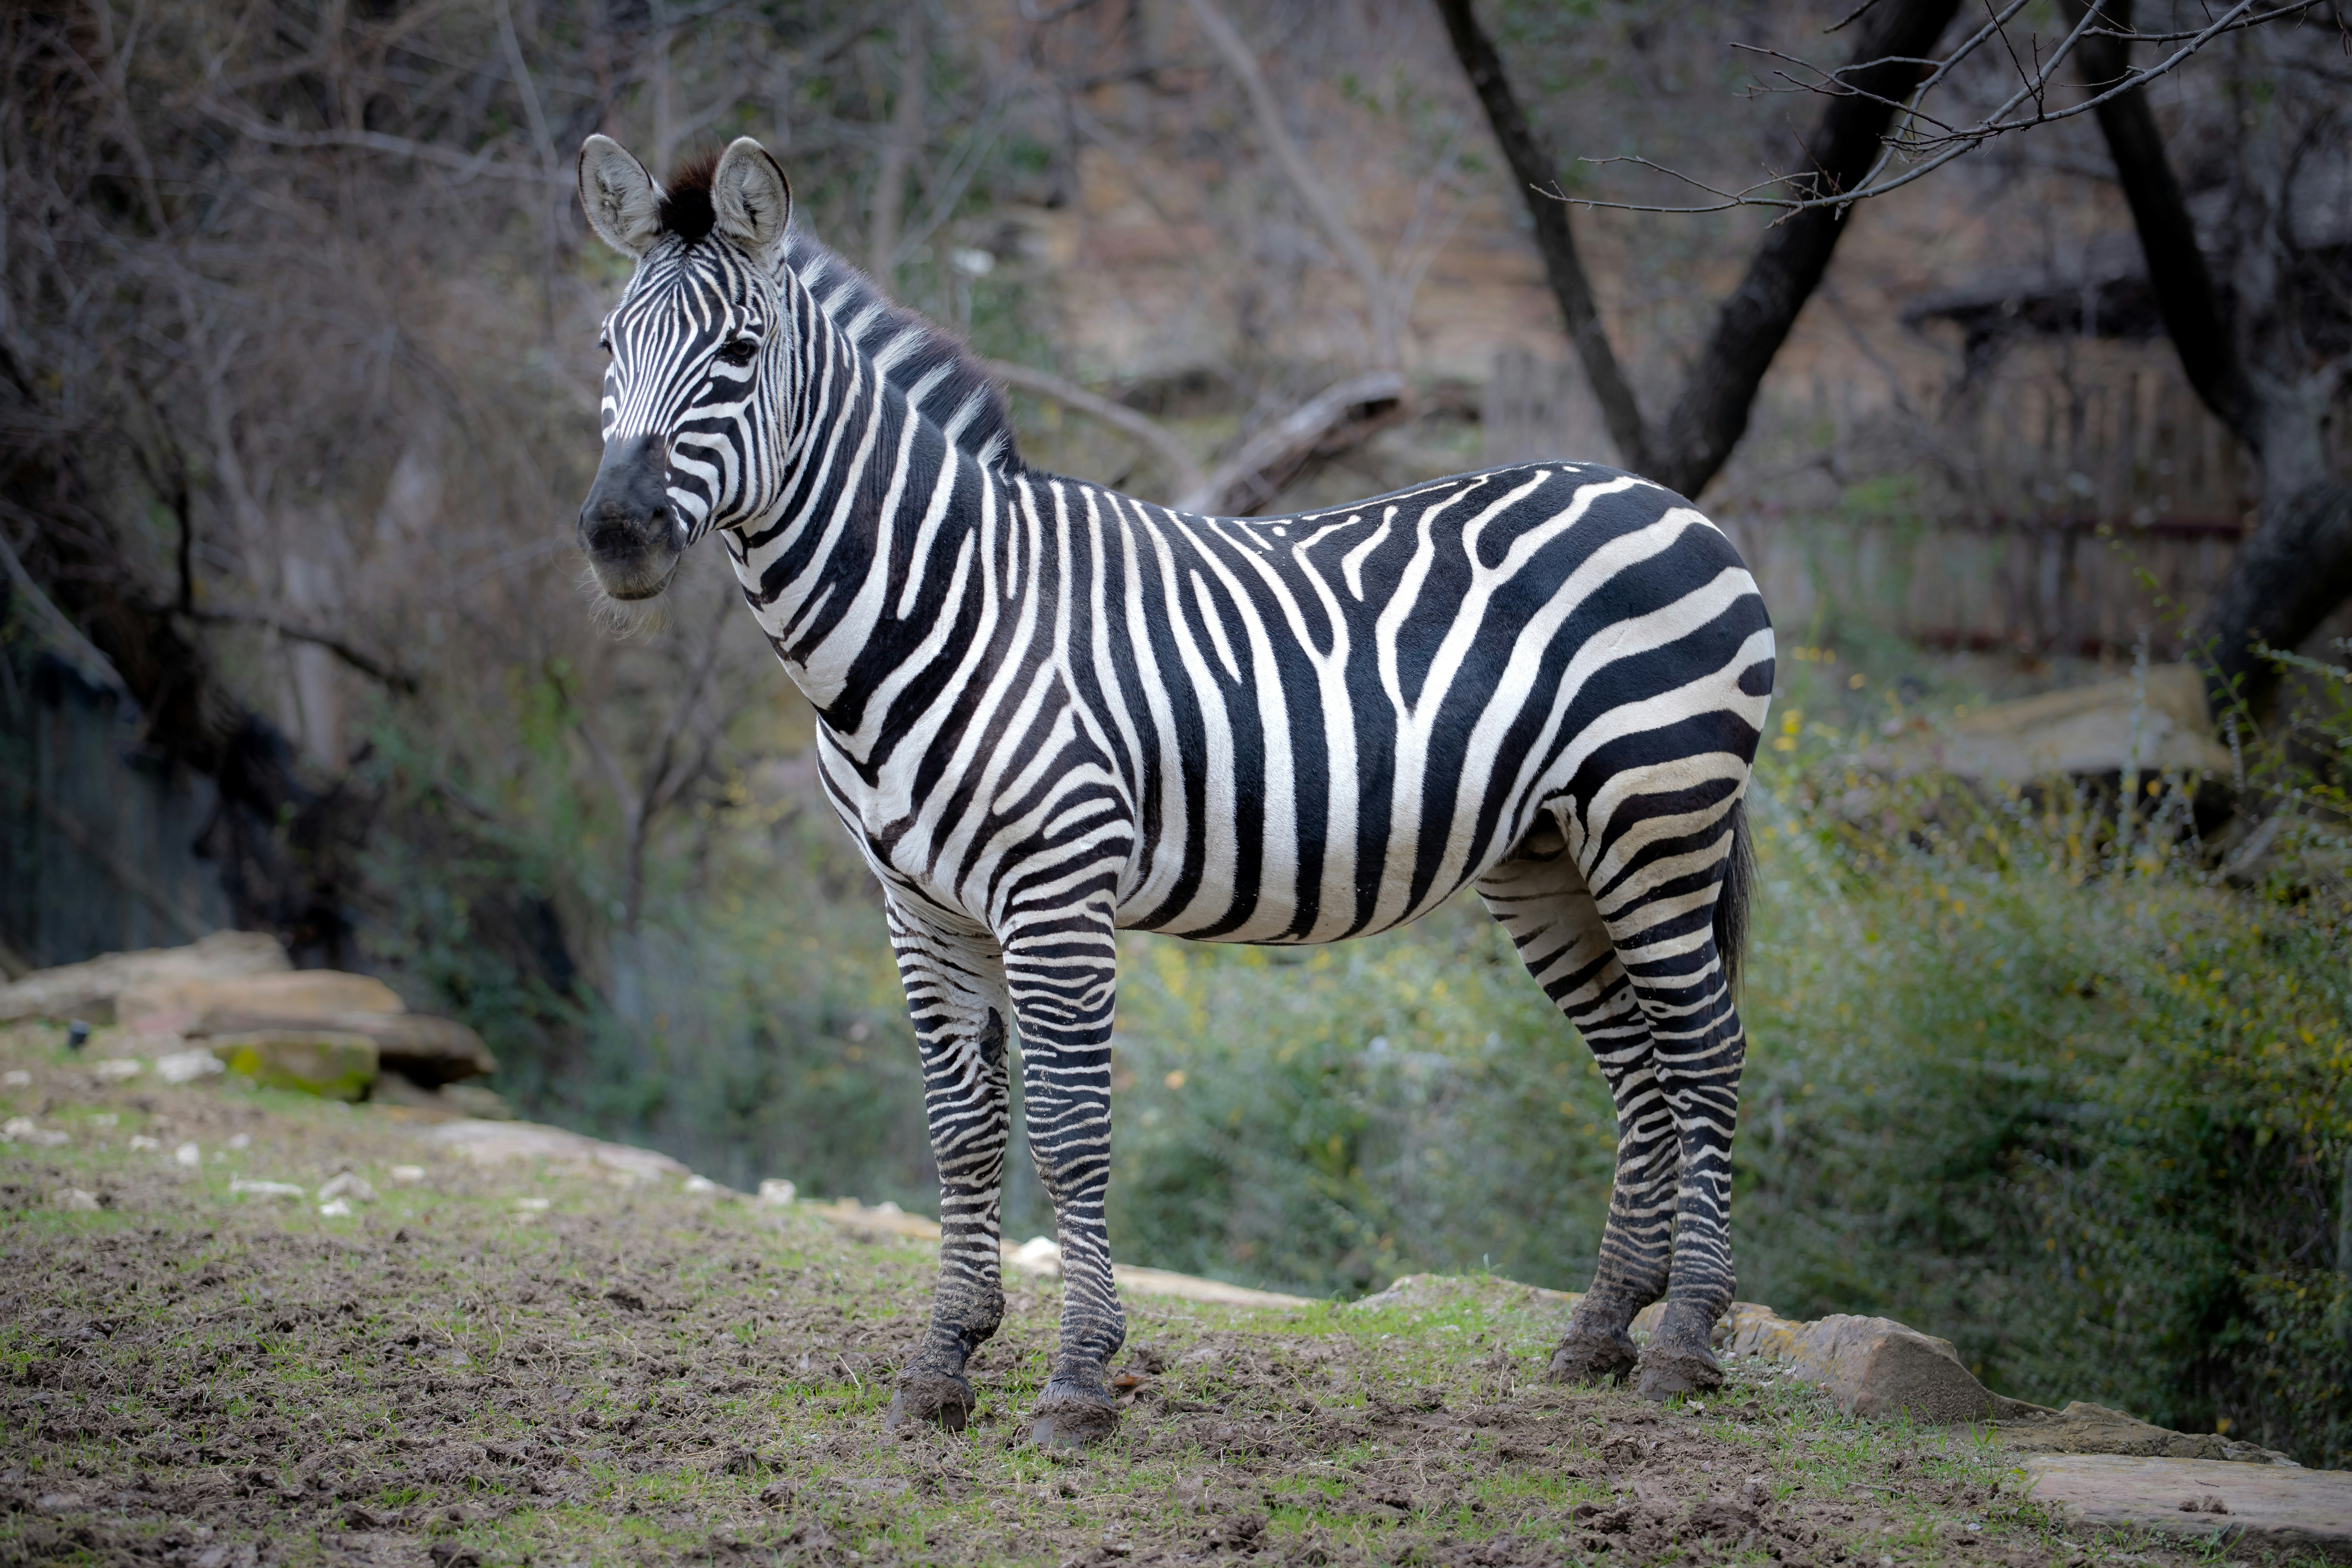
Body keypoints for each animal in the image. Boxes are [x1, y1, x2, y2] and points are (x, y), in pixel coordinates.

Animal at [572, 134, 1774, 1445]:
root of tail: (1658, 496)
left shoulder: (1056, 892)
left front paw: (1077, 1381)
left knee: (1705, 1048)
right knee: (1639, 1065)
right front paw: (943, 1363)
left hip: (1656, 817)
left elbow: (1068, 1133)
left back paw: (1686, 1341)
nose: (616, 533)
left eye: (739, 353)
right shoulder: (919, 908)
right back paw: (1600, 1331)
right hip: (1549, 858)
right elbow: (962, 1136)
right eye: (606, 346)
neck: (942, 604)